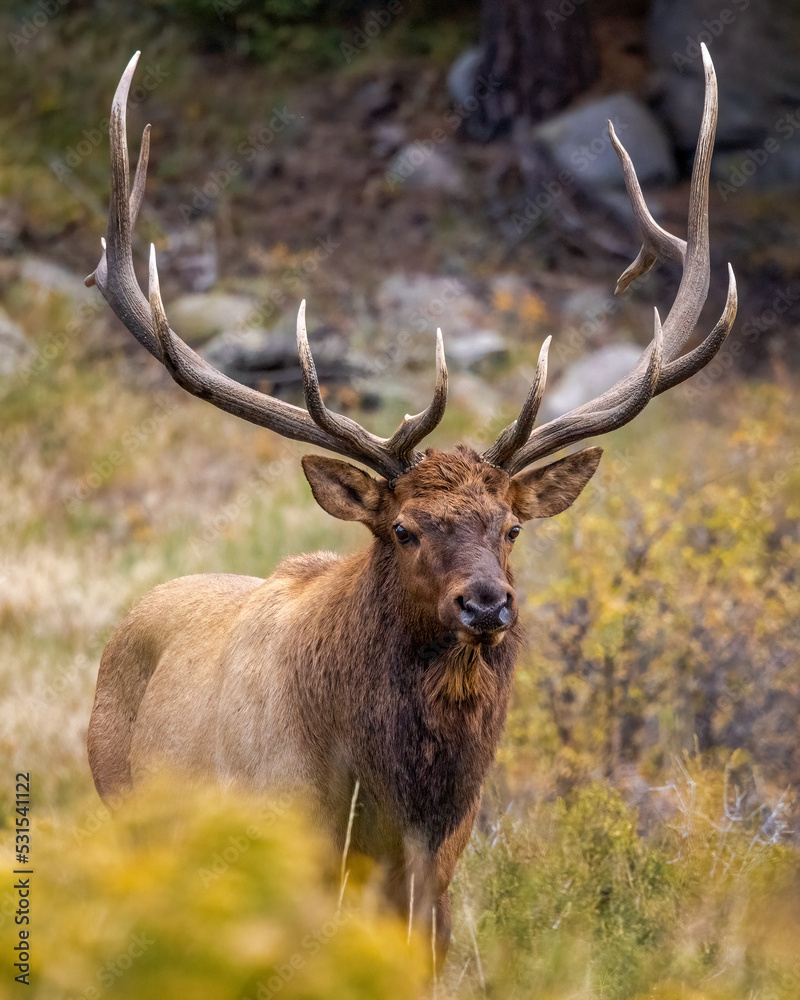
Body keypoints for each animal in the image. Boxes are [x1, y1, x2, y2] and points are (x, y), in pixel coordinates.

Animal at [86, 46, 736, 961]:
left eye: (511, 527)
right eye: (403, 528)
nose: (486, 603)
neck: (392, 793)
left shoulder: (439, 863)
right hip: (126, 808)